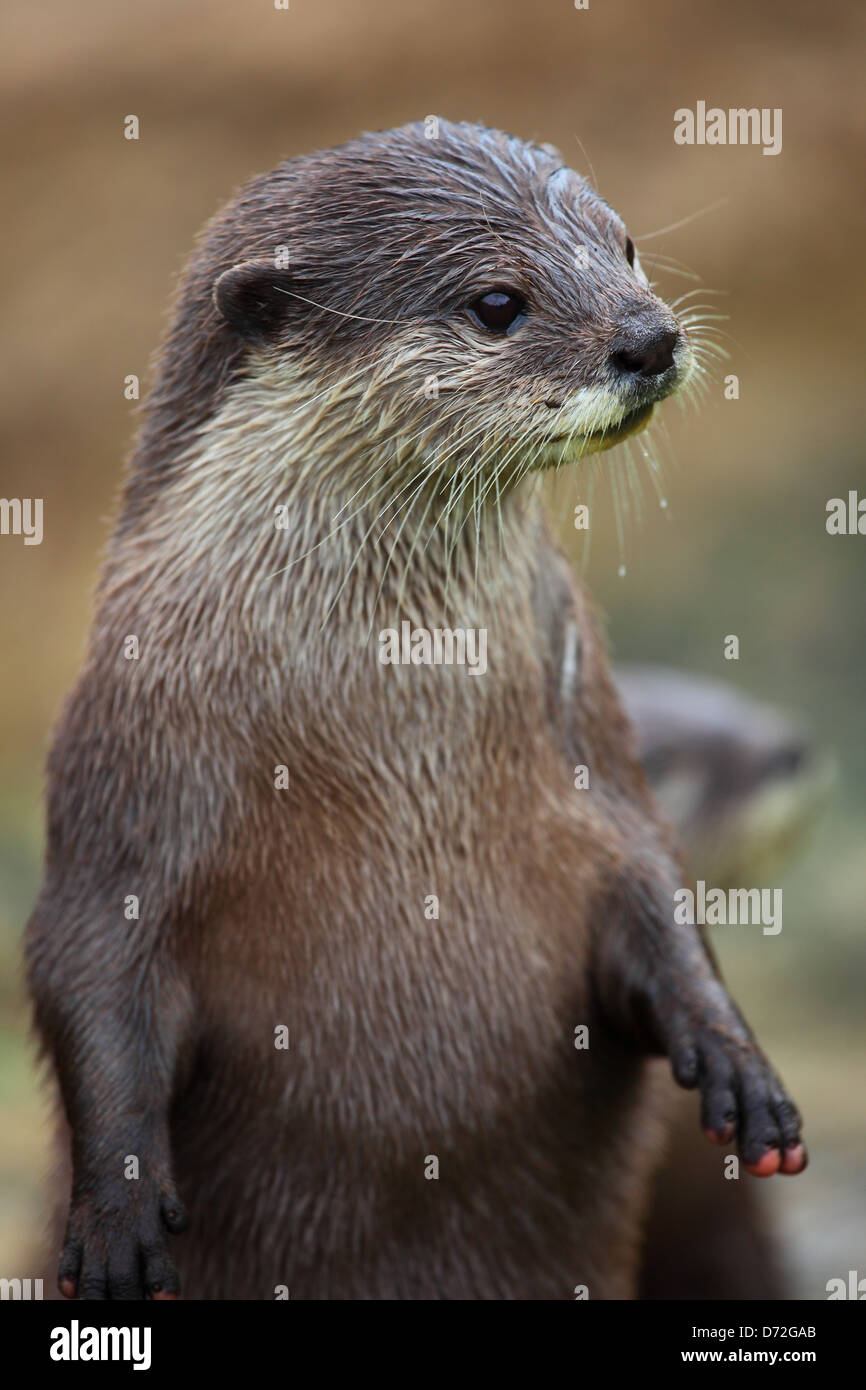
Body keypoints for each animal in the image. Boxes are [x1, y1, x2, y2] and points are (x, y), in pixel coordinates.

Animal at [26, 120, 806, 1301]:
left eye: (623, 245)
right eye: (496, 302)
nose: (649, 338)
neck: (397, 724)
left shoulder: (591, 756)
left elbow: (655, 888)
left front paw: (737, 1061)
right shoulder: (126, 761)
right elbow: (87, 957)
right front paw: (116, 1215)